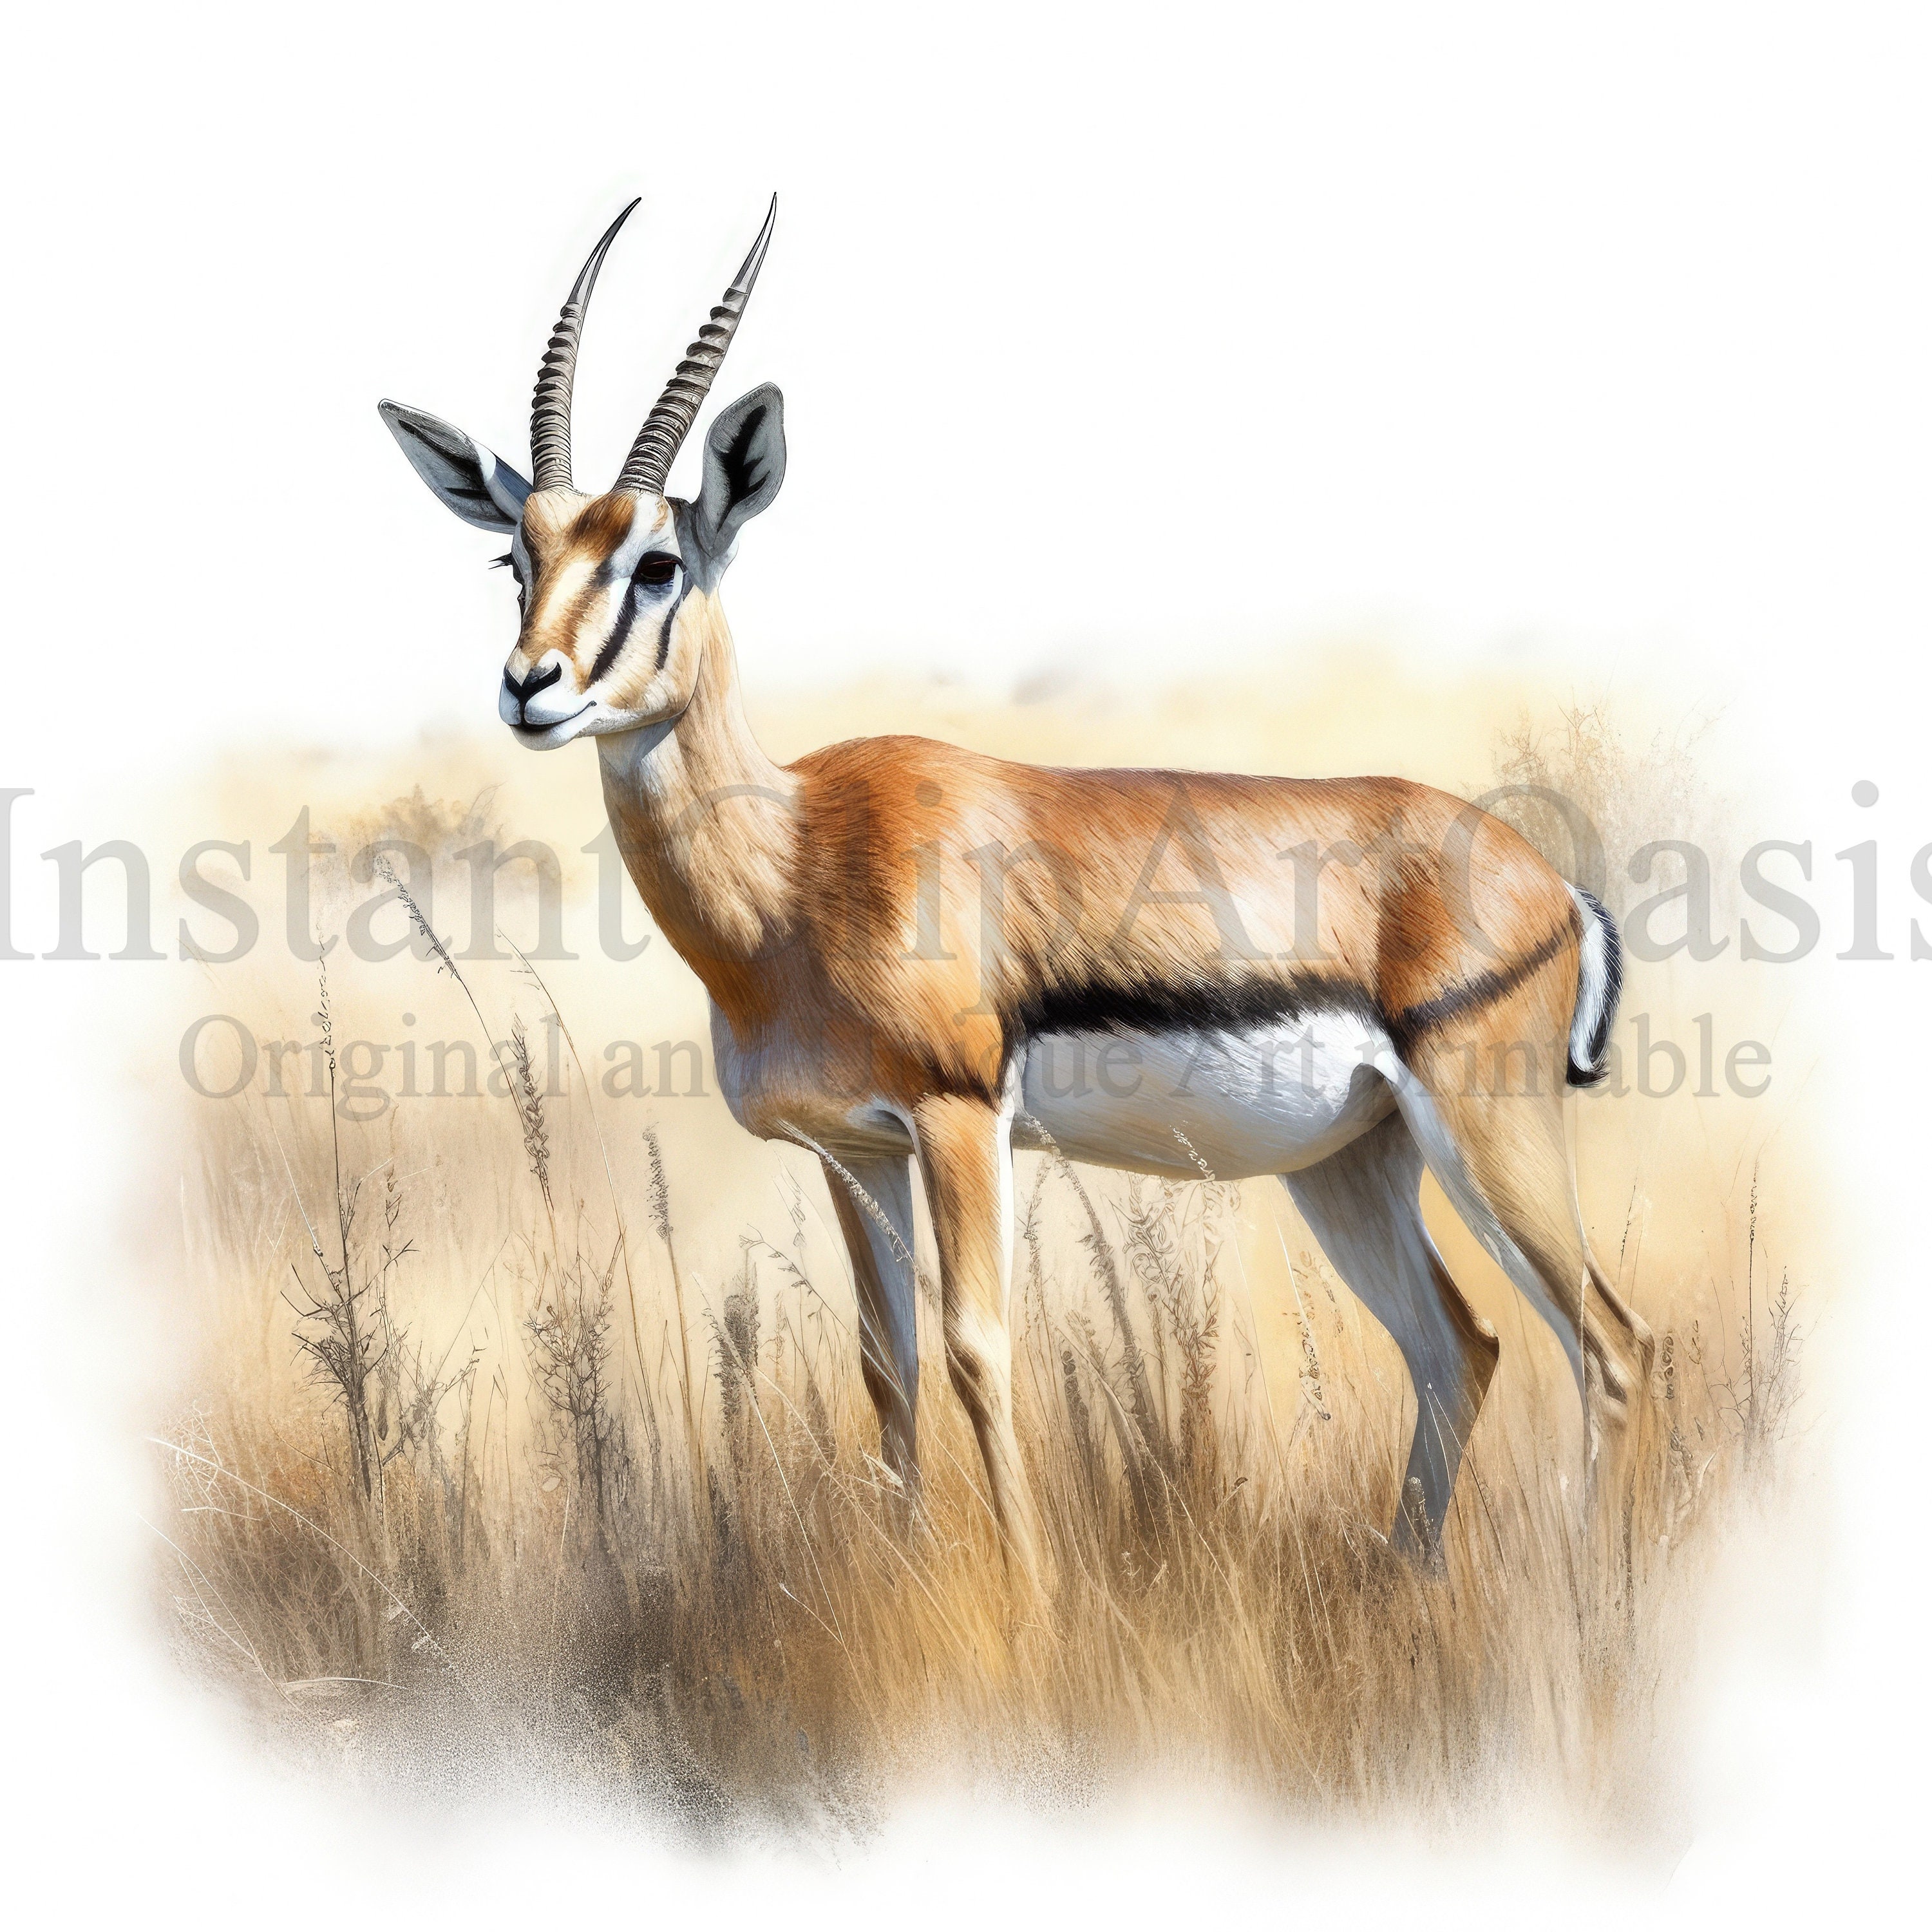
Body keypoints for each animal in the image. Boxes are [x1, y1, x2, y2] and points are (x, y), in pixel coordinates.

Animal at [380, 199, 1653, 1588]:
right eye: (517, 556)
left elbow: (979, 1351)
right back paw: (1406, 1582)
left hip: (1484, 1130)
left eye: (657, 562)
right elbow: (887, 1369)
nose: (531, 686)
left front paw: (1034, 1601)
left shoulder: (958, 1117)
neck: (798, 865)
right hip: (1350, 1164)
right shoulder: (855, 1149)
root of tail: (1552, 884)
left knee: (1608, 1344)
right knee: (1459, 1349)